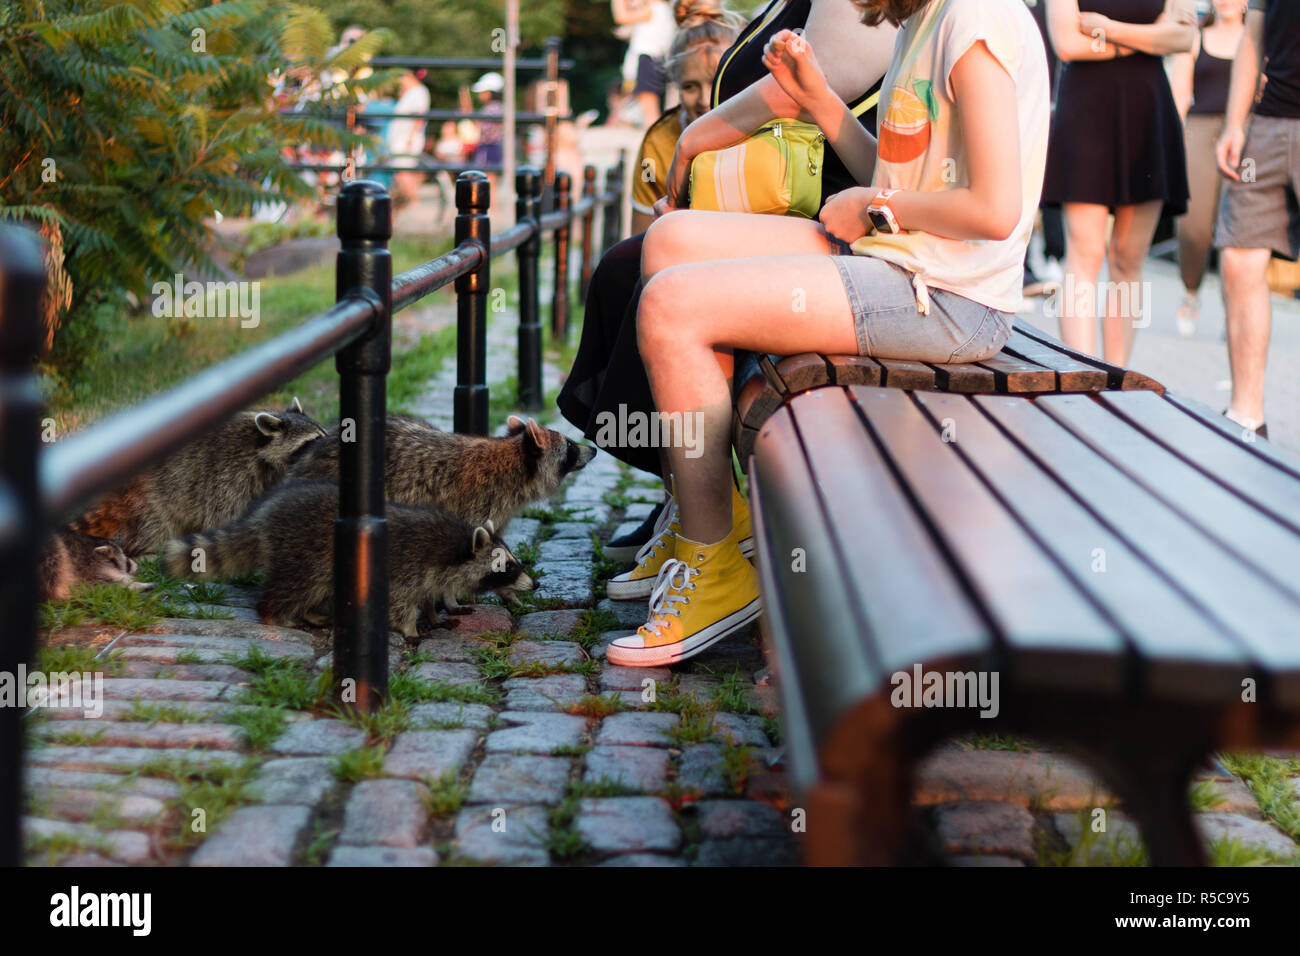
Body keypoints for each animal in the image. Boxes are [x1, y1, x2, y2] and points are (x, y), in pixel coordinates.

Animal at [73, 399, 327, 556]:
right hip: (150, 493)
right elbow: (224, 516)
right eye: (313, 440)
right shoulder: (229, 474)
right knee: (156, 523)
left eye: (324, 433)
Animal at [161, 480, 535, 638]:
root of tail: (265, 514)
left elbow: (427, 596)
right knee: (298, 585)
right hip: (305, 550)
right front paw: (410, 628)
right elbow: (399, 603)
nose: (535, 584)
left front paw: (435, 614)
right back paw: (275, 614)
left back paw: (311, 613)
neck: (454, 545)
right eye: (506, 566)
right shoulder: (407, 566)